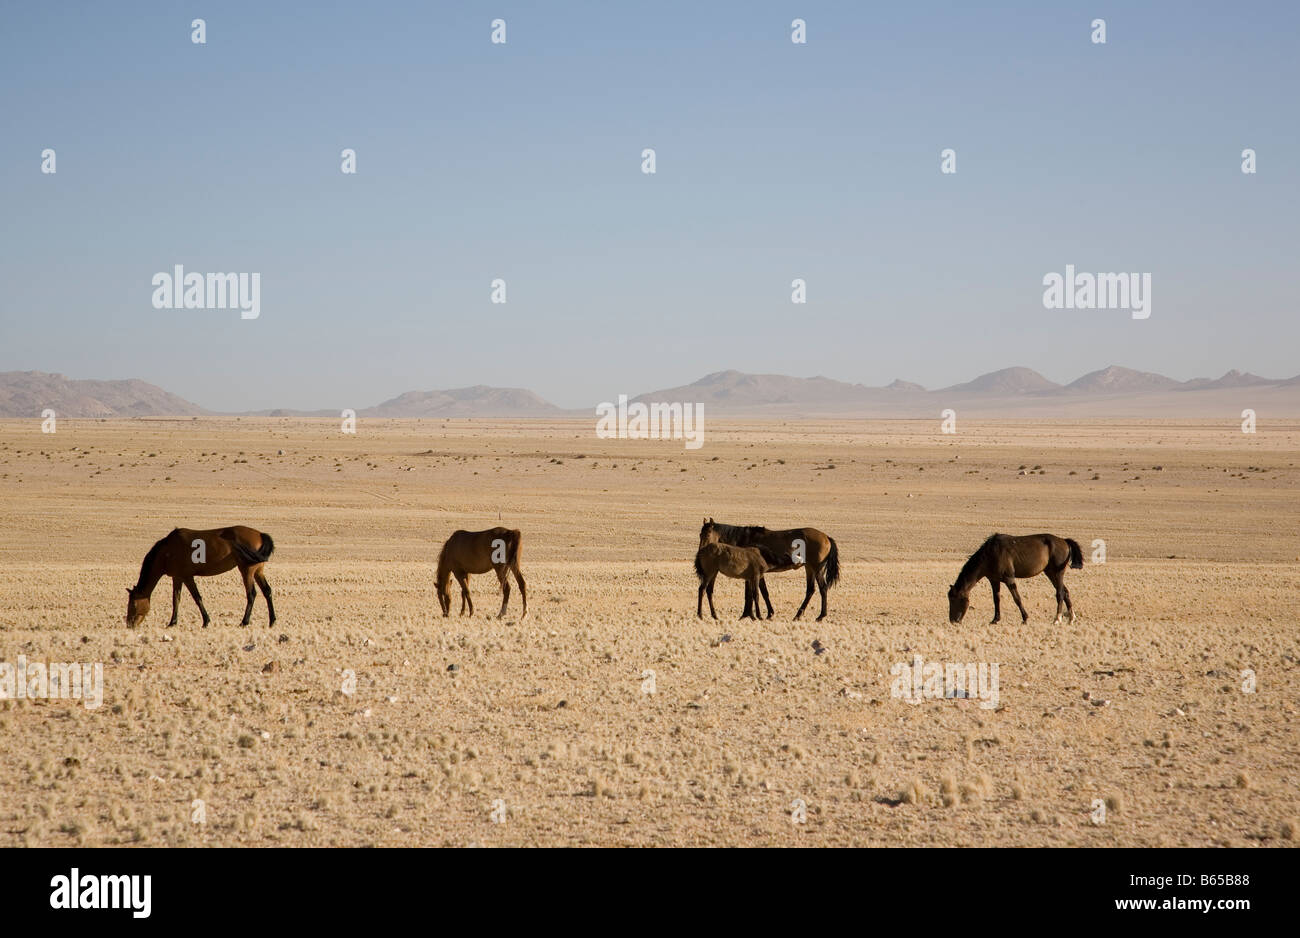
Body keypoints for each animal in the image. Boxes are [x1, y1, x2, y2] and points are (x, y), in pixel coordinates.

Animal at [125, 526, 276, 628]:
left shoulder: (187, 577)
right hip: (258, 571)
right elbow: (176, 599)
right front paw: (172, 622)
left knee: (251, 594)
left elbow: (197, 597)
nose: (129, 625)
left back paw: (244, 622)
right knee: (267, 591)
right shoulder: (177, 577)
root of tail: (260, 534)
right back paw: (272, 621)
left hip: (247, 571)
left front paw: (206, 621)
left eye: (133, 604)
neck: (167, 551)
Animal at [698, 518, 840, 620]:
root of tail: (826, 537)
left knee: (823, 588)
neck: (744, 538)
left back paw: (821, 616)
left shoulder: (752, 574)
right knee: (810, 590)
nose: (701, 551)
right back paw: (798, 615)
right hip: (809, 568)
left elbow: (752, 593)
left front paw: (749, 614)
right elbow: (761, 592)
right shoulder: (753, 574)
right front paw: (761, 614)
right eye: (700, 534)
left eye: (708, 533)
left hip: (817, 568)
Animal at [948, 533, 1083, 625]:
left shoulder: (1009, 579)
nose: (953, 620)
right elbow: (996, 599)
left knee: (1060, 593)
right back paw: (1071, 618)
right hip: (1050, 573)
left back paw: (1057, 619)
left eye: (955, 599)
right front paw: (995, 619)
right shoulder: (994, 580)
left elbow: (1017, 598)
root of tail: (1064, 541)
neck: (990, 555)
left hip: (1058, 573)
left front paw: (1025, 618)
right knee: (1065, 591)